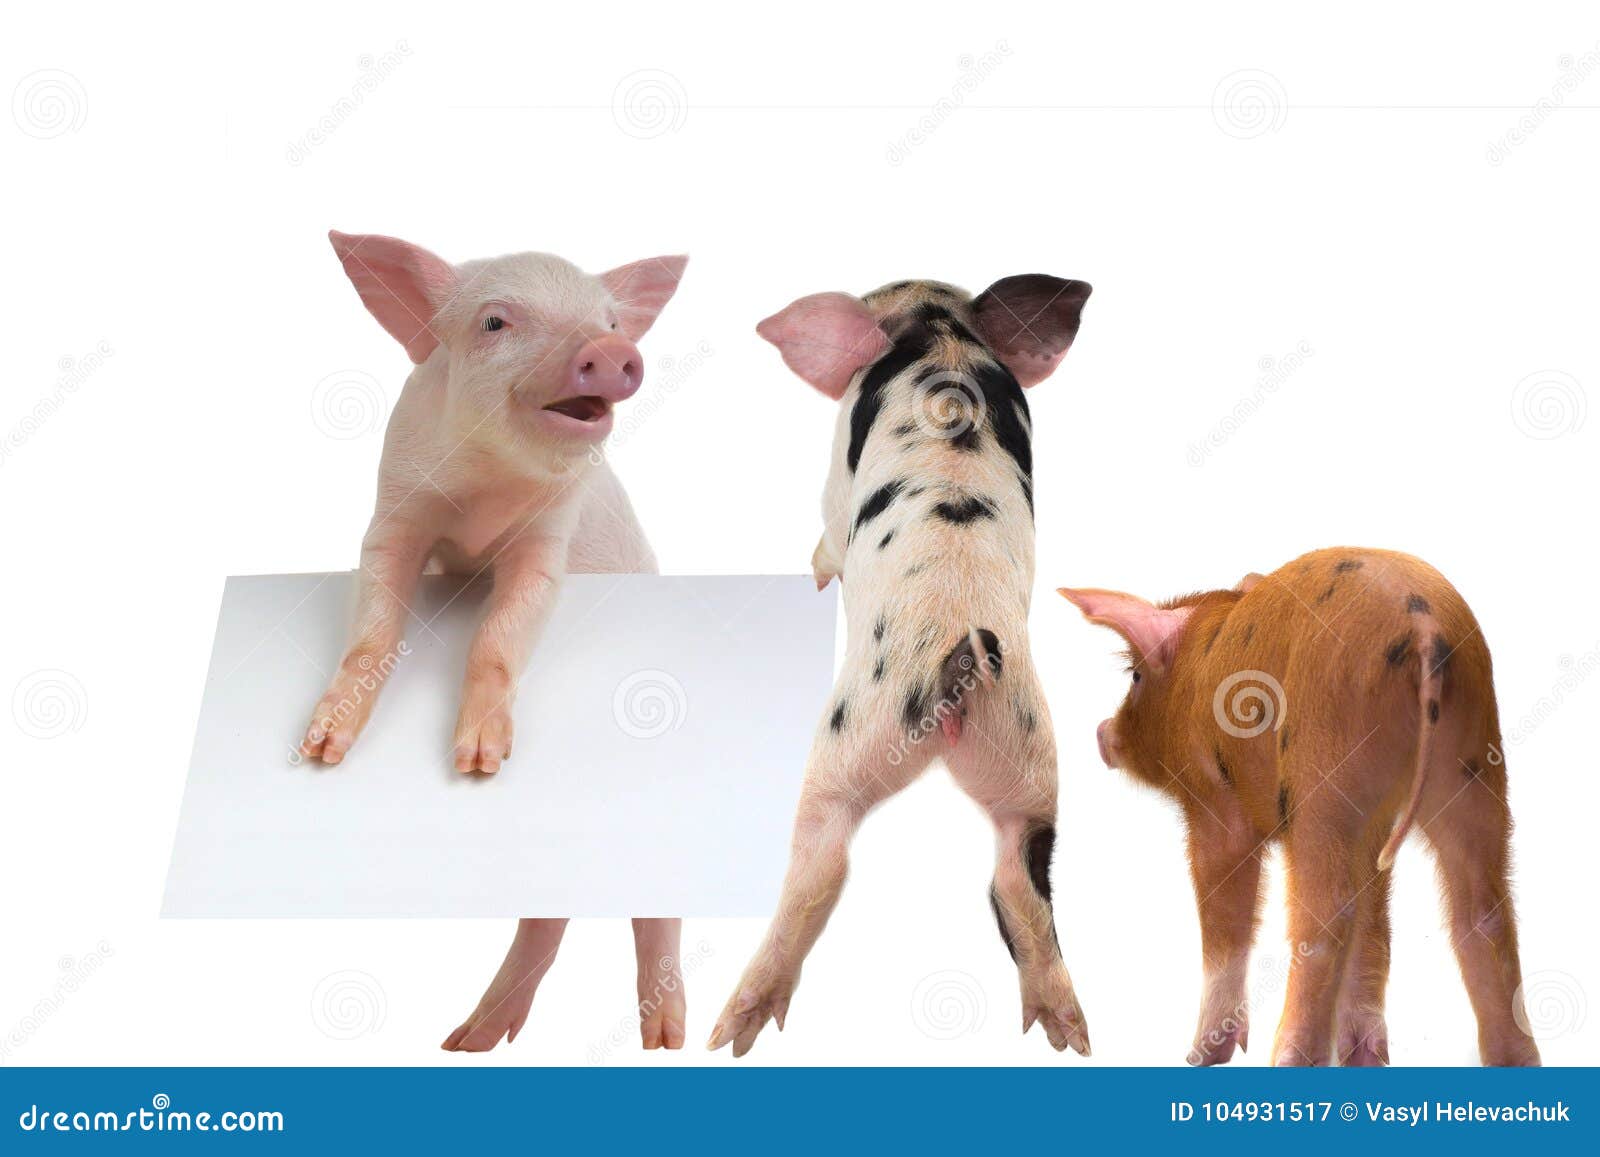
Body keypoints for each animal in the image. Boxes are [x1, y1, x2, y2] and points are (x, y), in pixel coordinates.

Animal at [303, 231, 689, 1051]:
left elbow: (502, 634)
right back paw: (468, 1039)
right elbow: (373, 623)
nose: (611, 349)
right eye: (495, 322)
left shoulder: (551, 540)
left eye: (611, 318)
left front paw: (478, 764)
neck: (482, 498)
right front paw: (319, 750)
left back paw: (668, 1040)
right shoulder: (395, 510)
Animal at [708, 276, 1094, 1056]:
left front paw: (816, 571)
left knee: (818, 863)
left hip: (851, 734)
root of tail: (954, 655)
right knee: (1018, 872)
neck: (938, 323)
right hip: (1029, 749)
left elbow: (829, 520)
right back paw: (1067, 1031)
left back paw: (733, 1027)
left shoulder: (835, 470)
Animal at [1060, 548, 1541, 1067]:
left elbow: (1226, 911)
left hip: (1322, 775)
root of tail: (1423, 627)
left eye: (1134, 676)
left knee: (1328, 916)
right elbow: (1375, 917)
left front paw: (1199, 1056)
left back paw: (1285, 1058)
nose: (1101, 733)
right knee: (1482, 911)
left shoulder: (1215, 804)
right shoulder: (1375, 825)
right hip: (1472, 763)